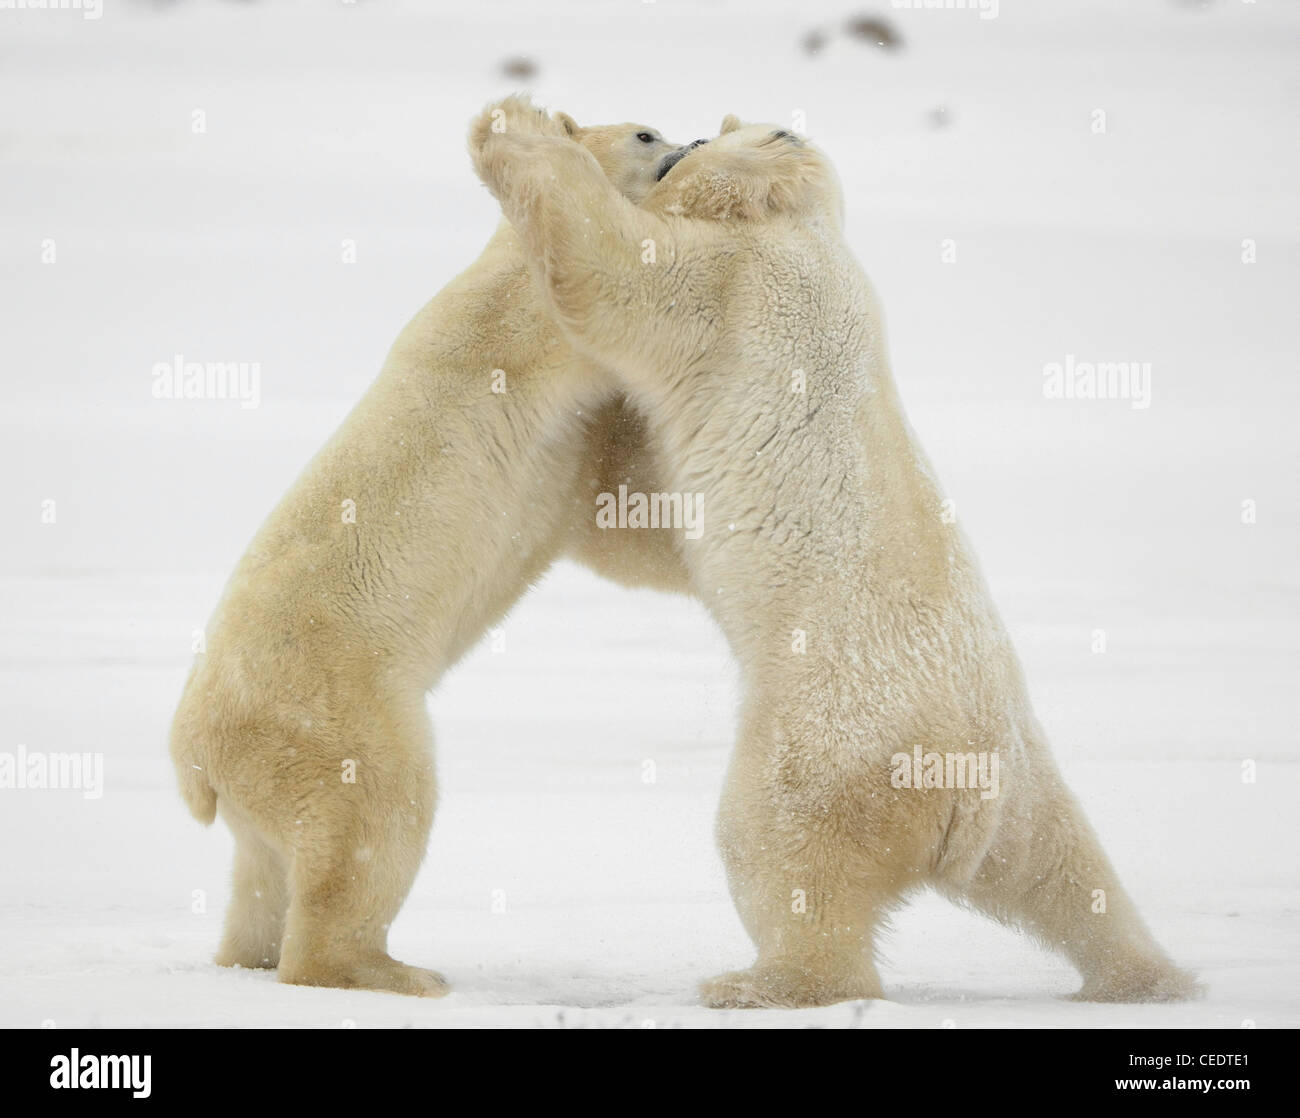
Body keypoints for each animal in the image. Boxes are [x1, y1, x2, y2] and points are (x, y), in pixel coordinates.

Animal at [168, 96, 694, 996]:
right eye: (645, 133)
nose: (689, 142)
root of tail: (196, 754)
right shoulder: (511, 325)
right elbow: (580, 304)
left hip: (266, 779)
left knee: (262, 875)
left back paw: (255, 953)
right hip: (336, 711)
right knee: (379, 814)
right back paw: (394, 970)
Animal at [470, 111, 1201, 1007]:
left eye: (697, 142)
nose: (678, 140)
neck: (808, 229)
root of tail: (958, 786)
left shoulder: (729, 288)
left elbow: (614, 270)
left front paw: (514, 136)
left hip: (823, 740)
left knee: (778, 850)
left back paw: (758, 982)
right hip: (1024, 779)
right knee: (1065, 871)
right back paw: (1148, 975)